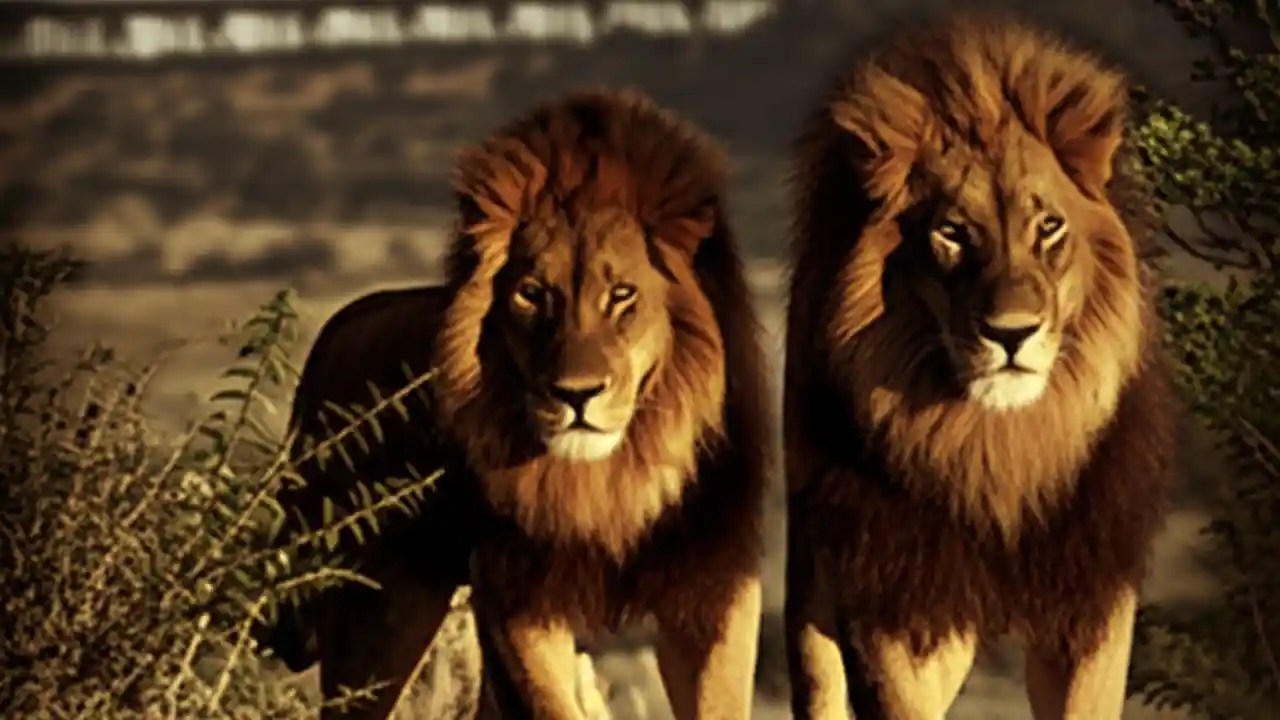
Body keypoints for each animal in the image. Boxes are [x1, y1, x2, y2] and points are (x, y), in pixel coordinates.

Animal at [258, 88, 771, 720]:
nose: (576, 394)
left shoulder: (712, 582)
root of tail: (339, 328)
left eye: (621, 294)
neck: (612, 479)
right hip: (375, 617)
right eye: (532, 294)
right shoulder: (518, 590)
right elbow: (550, 705)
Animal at [782, 11, 1178, 719]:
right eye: (953, 233)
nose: (1011, 333)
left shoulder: (1091, 596)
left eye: (1048, 227)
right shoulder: (896, 597)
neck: (1002, 445)